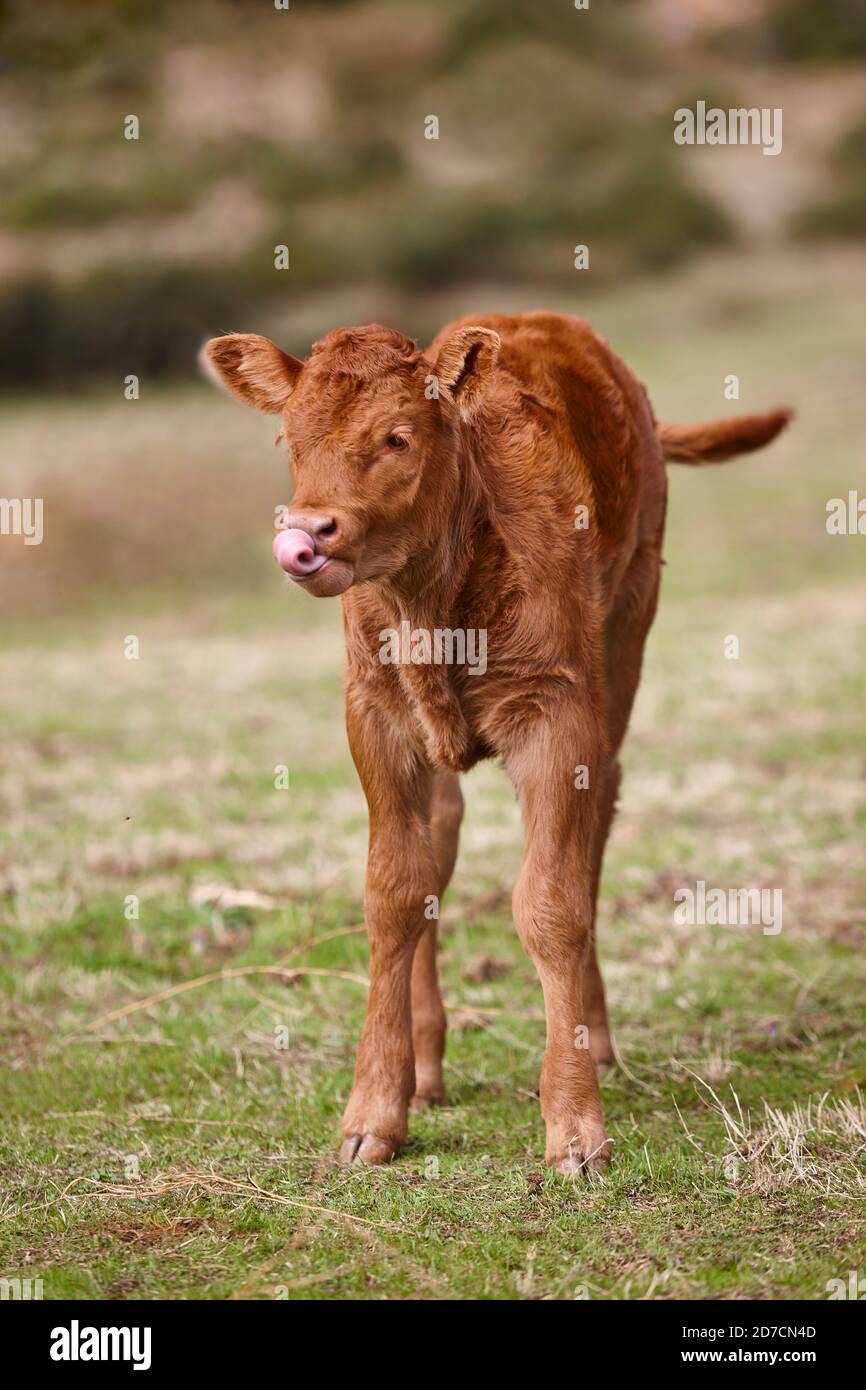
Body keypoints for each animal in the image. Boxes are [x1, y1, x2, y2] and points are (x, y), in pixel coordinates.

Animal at [203, 313, 790, 1174]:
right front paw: (373, 1114)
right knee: (440, 844)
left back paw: (595, 1036)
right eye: (290, 440)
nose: (308, 534)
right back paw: (426, 1070)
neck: (433, 603)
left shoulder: (559, 713)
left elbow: (550, 901)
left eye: (398, 436)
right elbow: (393, 893)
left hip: (624, 639)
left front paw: (575, 1128)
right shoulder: (373, 716)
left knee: (597, 823)